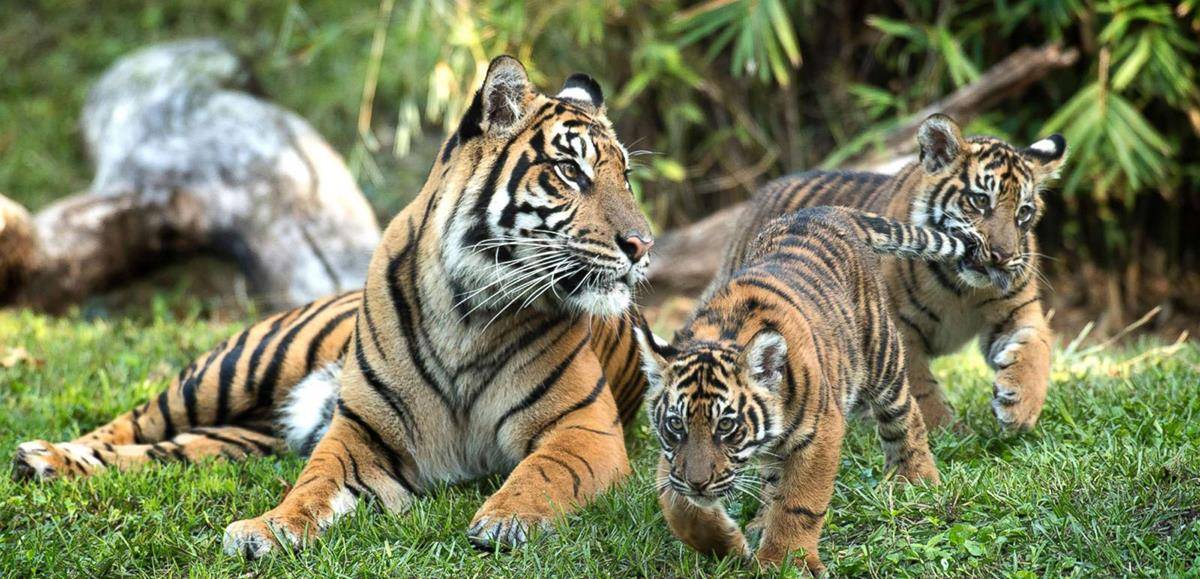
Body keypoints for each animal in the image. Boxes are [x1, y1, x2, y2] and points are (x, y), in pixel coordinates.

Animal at [11, 55, 654, 558]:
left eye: (624, 175)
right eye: (570, 171)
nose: (643, 244)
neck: (470, 311)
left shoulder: (583, 429)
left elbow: (544, 474)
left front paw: (506, 519)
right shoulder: (363, 434)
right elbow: (312, 486)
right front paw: (266, 530)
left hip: (240, 438)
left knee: (167, 451)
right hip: (231, 370)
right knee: (135, 422)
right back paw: (44, 457)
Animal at [636, 207, 974, 572]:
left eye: (725, 425)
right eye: (675, 424)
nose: (698, 483)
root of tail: (827, 210)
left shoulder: (821, 433)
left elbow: (798, 504)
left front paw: (783, 562)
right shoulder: (673, 458)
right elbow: (679, 506)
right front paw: (725, 543)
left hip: (881, 354)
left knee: (904, 415)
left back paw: (916, 480)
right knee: (771, 478)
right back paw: (759, 522)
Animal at [722, 114, 1068, 431]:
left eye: (1023, 212)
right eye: (980, 200)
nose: (1003, 256)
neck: (961, 287)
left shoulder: (1017, 311)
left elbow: (1036, 350)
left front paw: (1019, 407)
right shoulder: (897, 328)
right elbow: (919, 386)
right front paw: (945, 430)